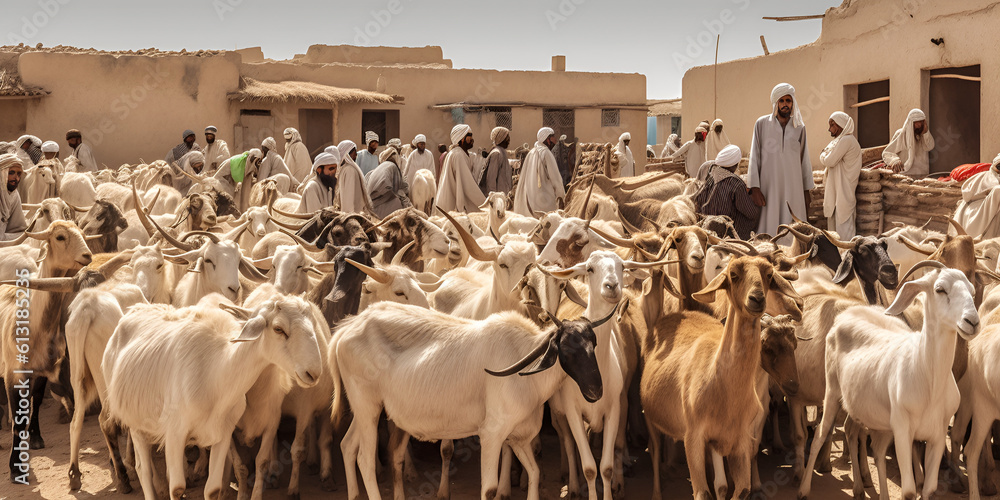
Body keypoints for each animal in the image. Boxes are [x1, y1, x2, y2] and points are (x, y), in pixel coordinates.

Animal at [798, 261, 979, 500]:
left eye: (972, 291)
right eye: (940, 289)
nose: (972, 322)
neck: (928, 379)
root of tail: (849, 312)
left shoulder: (937, 436)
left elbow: (928, 488)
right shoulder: (903, 431)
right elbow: (909, 490)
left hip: (870, 414)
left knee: (866, 443)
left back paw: (863, 488)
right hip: (832, 392)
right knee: (820, 433)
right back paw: (803, 489)